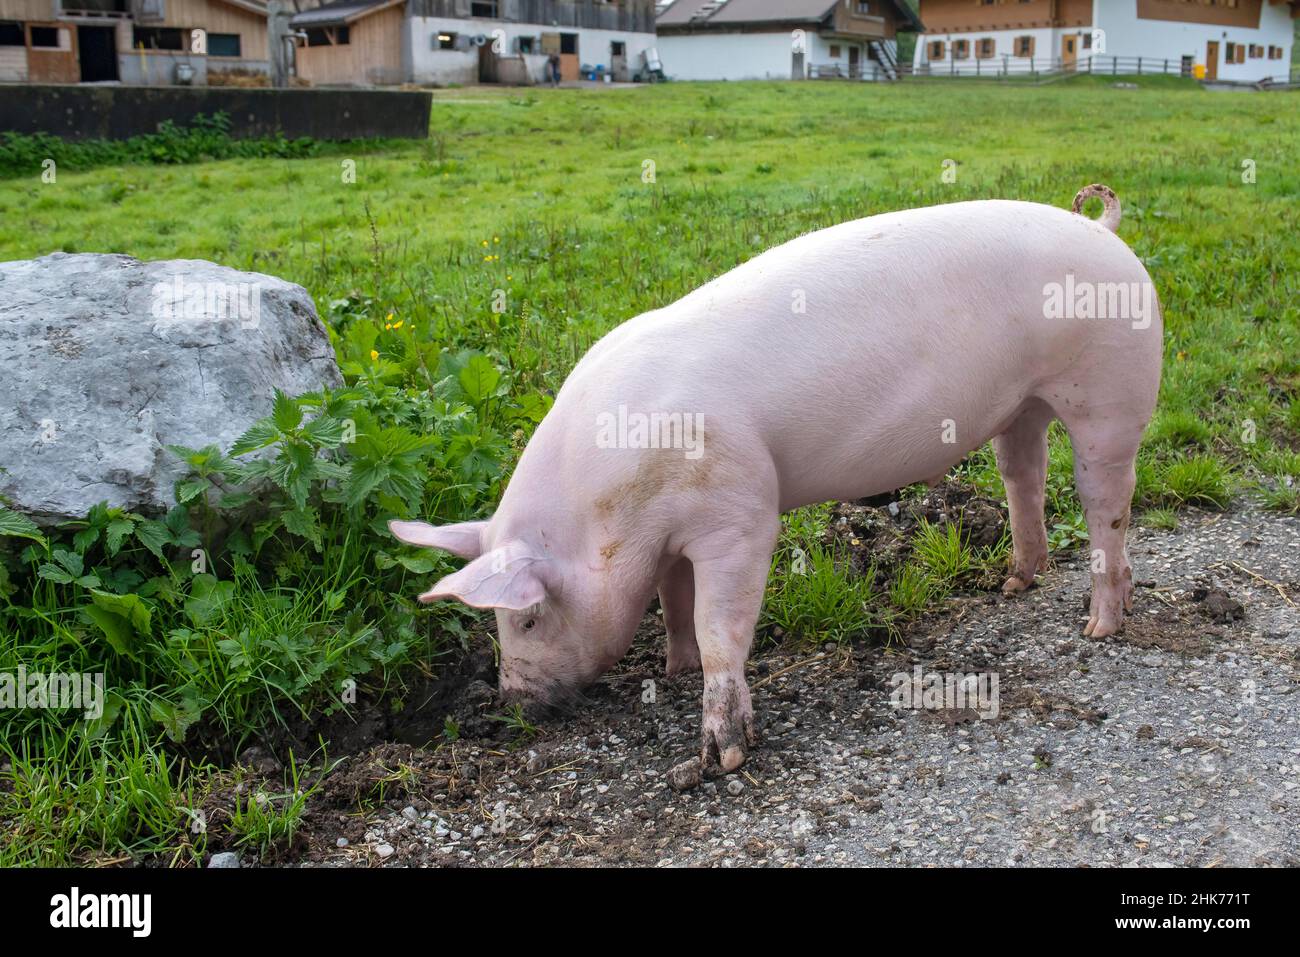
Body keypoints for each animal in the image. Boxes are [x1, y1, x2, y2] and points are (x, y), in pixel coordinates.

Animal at [391, 184, 1162, 773]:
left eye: (525, 615)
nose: (511, 700)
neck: (607, 512)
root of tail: (1104, 230)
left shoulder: (739, 512)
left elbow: (719, 627)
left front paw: (722, 757)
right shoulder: (669, 535)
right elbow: (674, 602)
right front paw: (670, 670)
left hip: (1111, 392)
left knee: (1106, 501)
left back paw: (1099, 626)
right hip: (1021, 404)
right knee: (1022, 472)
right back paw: (1013, 583)